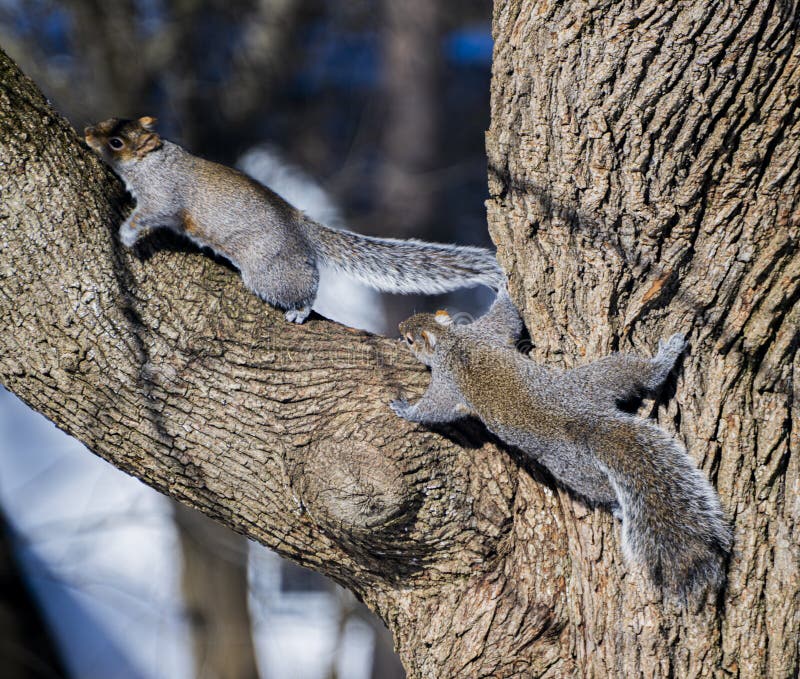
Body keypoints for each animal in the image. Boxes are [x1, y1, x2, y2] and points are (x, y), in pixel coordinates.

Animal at [84, 117, 503, 323]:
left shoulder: (164, 194)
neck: (154, 159)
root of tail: (298, 224)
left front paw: (127, 233)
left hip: (271, 271)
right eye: (108, 120)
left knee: (303, 286)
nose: (87, 132)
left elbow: (152, 213)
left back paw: (300, 309)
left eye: (117, 142)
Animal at [391, 290, 732, 598]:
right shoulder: (485, 335)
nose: (399, 327)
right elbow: (508, 320)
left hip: (574, 462)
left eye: (409, 339)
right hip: (596, 383)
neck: (449, 341)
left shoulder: (451, 375)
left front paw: (405, 409)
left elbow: (436, 407)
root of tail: (586, 421)